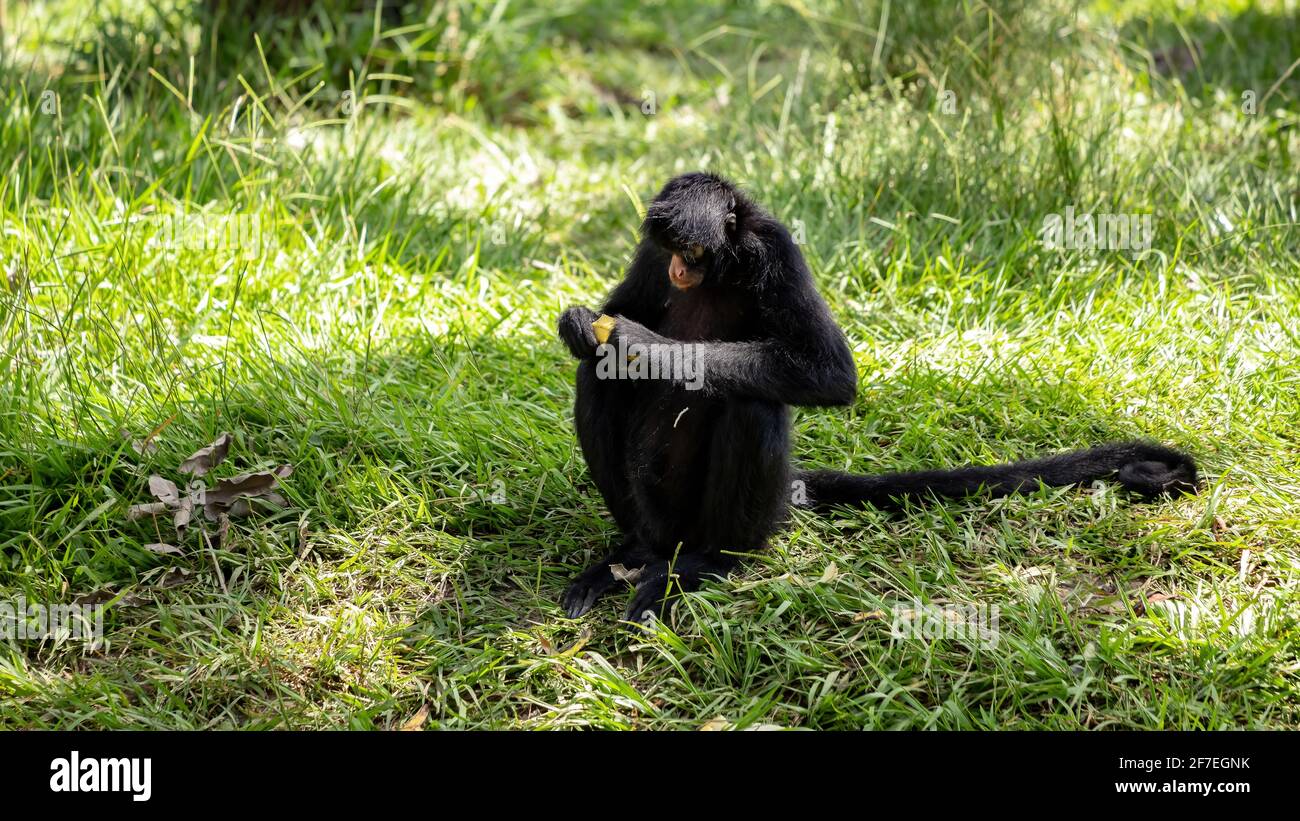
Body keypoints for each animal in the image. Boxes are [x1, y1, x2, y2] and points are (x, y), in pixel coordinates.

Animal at [557, 171, 1198, 623]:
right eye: (671, 251)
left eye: (691, 252)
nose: (678, 270)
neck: (723, 267)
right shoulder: (651, 256)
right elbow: (604, 337)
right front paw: (580, 324)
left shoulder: (775, 249)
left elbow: (831, 374)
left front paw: (644, 346)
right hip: (660, 507)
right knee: (597, 378)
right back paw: (639, 553)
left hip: (748, 515)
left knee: (750, 403)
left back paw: (706, 561)